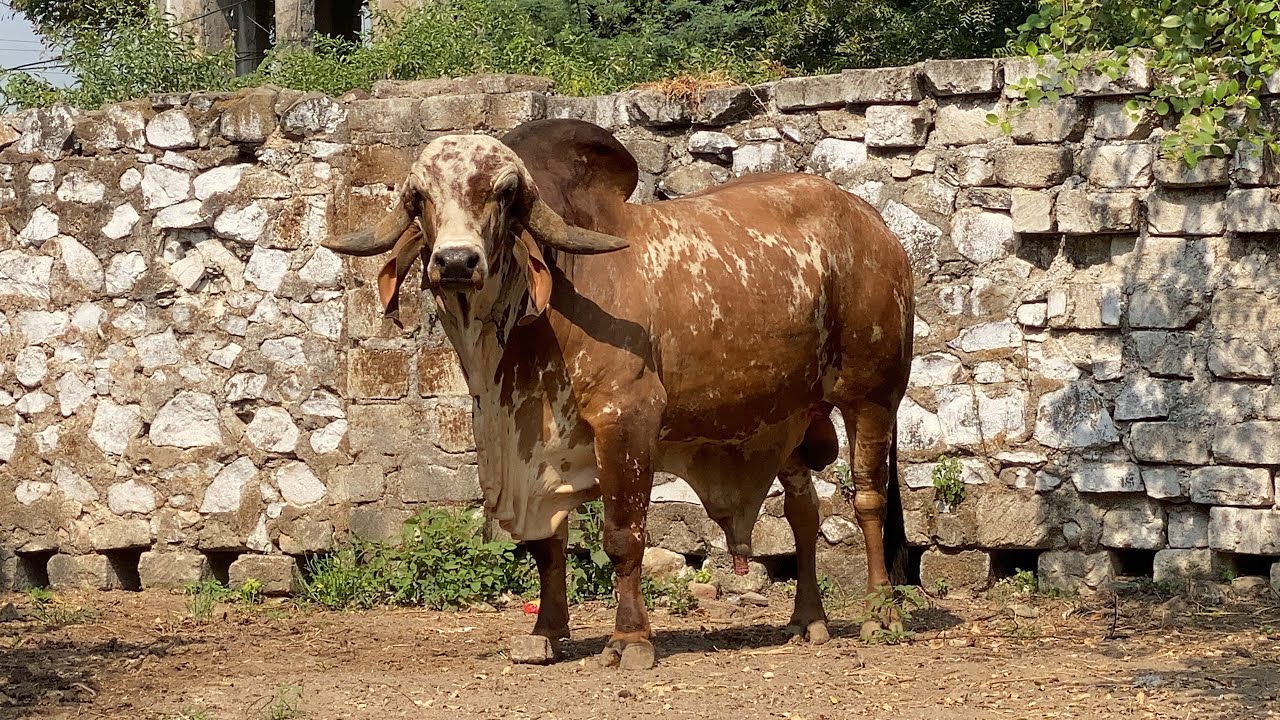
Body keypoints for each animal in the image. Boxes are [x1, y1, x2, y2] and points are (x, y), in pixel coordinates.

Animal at [322, 118, 915, 670]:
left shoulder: (626, 421)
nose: (456, 262)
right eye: (419, 198)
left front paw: (629, 638)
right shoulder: (540, 450)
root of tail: (878, 228)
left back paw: (879, 613)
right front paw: (545, 634)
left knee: (868, 499)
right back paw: (807, 619)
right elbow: (548, 546)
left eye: (505, 193)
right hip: (786, 417)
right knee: (803, 511)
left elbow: (623, 536)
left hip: (874, 397)